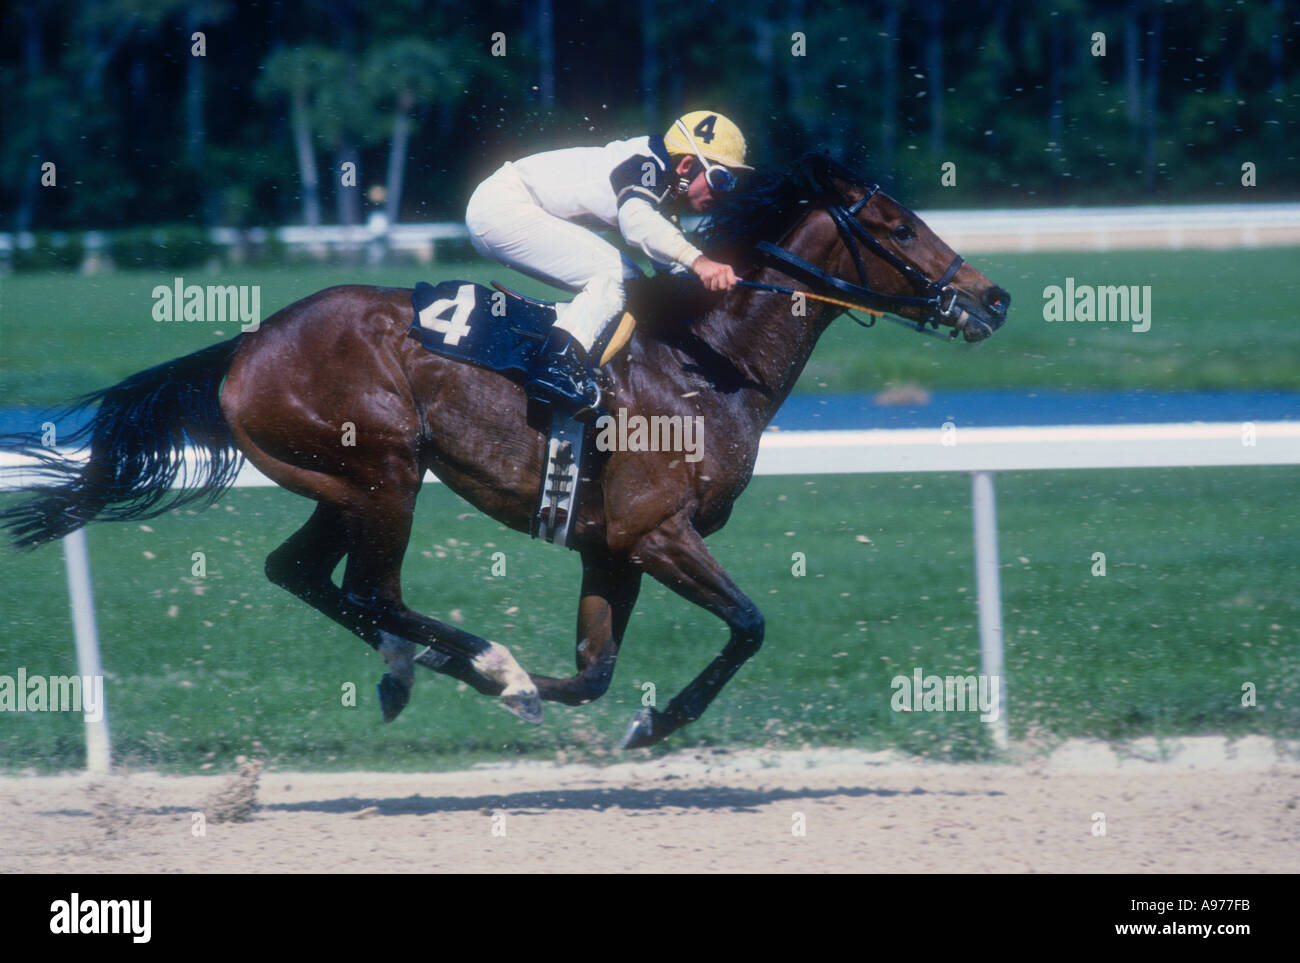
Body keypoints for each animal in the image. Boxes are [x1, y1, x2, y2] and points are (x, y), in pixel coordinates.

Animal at [1, 153, 1010, 749]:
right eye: (897, 225)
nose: (993, 299)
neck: (704, 359)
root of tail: (246, 345)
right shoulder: (658, 531)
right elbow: (750, 624)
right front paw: (650, 719)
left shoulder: (613, 546)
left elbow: (594, 671)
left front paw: (563, 697)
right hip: (386, 470)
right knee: (373, 589)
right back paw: (479, 660)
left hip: (339, 482)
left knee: (303, 573)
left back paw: (421, 668)